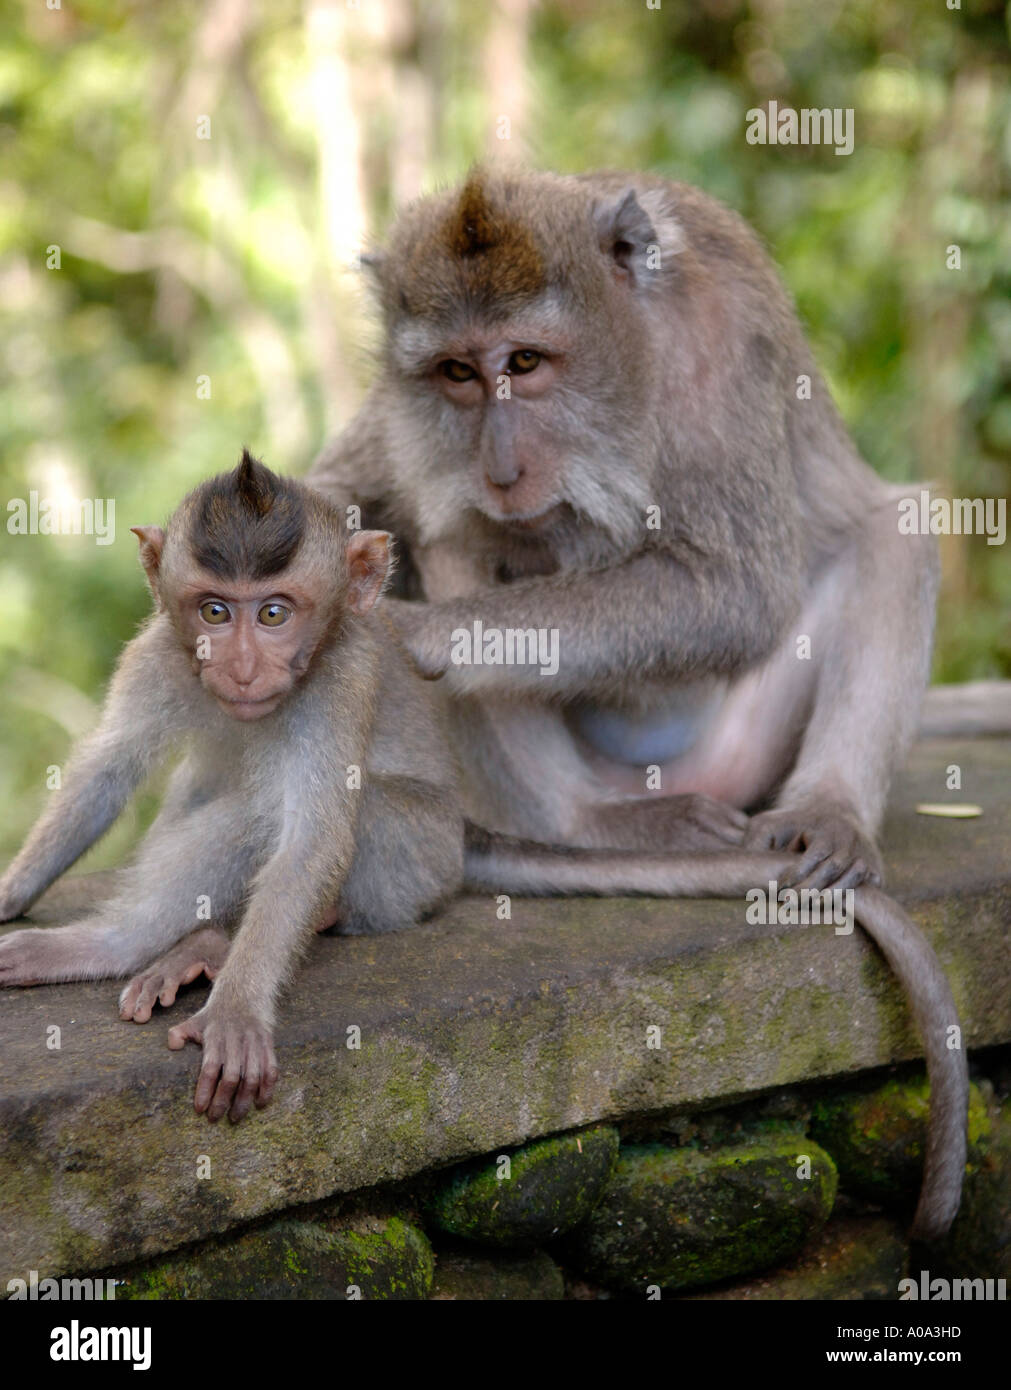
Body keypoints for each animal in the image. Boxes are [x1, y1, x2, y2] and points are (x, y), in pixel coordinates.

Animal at [0, 451, 465, 1123]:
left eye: (274, 613)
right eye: (214, 611)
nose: (241, 668)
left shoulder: (344, 678)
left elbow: (314, 842)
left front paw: (237, 1011)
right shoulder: (157, 652)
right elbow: (107, 768)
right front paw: (8, 892)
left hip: (418, 865)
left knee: (274, 812)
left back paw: (131, 946)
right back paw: (186, 945)